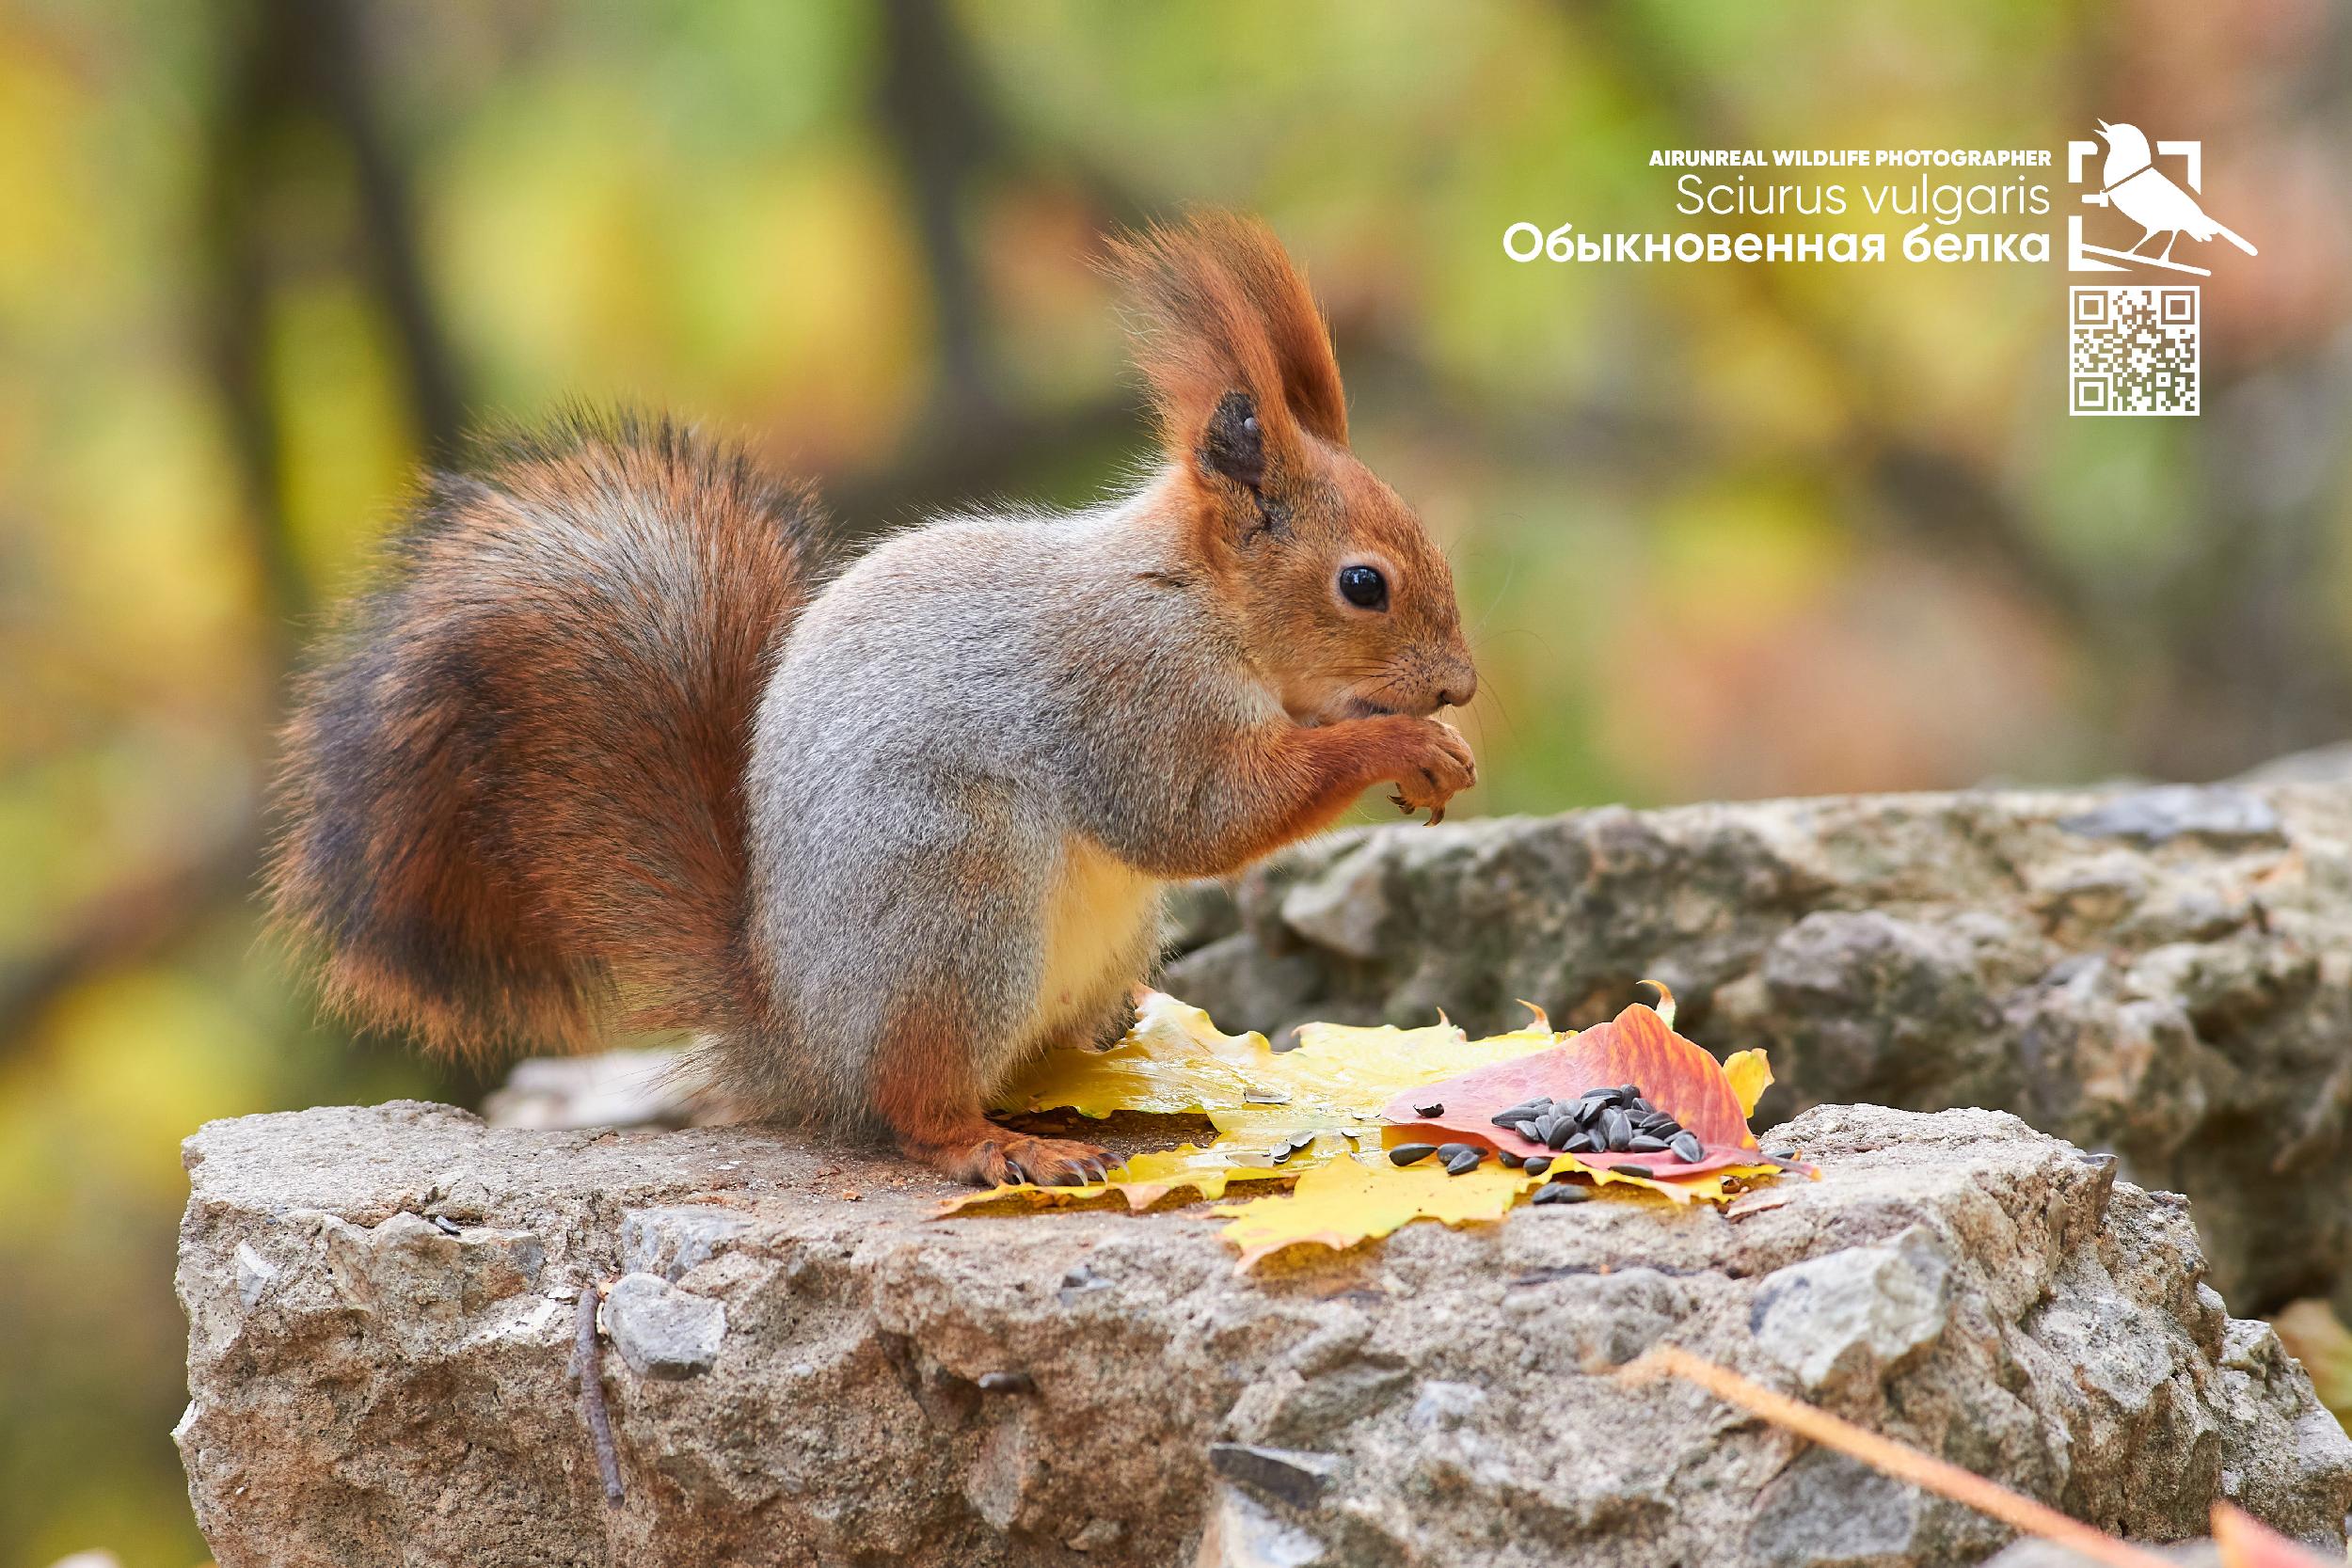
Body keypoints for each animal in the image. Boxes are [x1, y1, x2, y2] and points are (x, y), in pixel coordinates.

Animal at [270, 211, 1468, 1189]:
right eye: (1364, 584)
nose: (1459, 684)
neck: (1194, 598)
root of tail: (799, 1044)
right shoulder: (1127, 687)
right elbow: (1196, 818)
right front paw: (1402, 742)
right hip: (956, 903)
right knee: (912, 1104)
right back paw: (996, 1144)